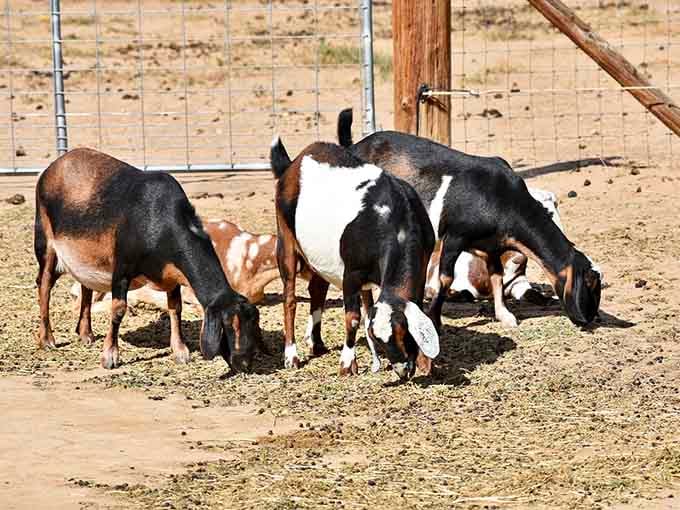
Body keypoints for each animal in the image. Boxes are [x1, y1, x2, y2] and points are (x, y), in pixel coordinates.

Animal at [34, 148, 262, 371]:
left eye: (253, 324)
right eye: (229, 325)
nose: (244, 364)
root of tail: (54, 166)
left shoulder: (171, 275)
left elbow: (175, 307)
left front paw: (180, 351)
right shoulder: (122, 268)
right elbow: (118, 309)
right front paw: (110, 356)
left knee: (85, 287)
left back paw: (86, 334)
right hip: (45, 241)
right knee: (44, 285)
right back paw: (47, 340)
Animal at [270, 137, 439, 380]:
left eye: (403, 331)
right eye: (379, 338)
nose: (402, 370)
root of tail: (295, 163)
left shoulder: (423, 263)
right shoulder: (351, 274)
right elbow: (353, 317)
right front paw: (347, 363)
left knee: (317, 290)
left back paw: (317, 344)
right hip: (286, 240)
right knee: (290, 299)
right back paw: (291, 356)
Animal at [337, 109, 601, 330]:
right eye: (590, 284)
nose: (591, 319)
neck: (503, 199)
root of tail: (354, 148)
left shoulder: (492, 246)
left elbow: (497, 276)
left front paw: (505, 316)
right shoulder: (454, 236)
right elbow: (446, 278)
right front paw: (435, 319)